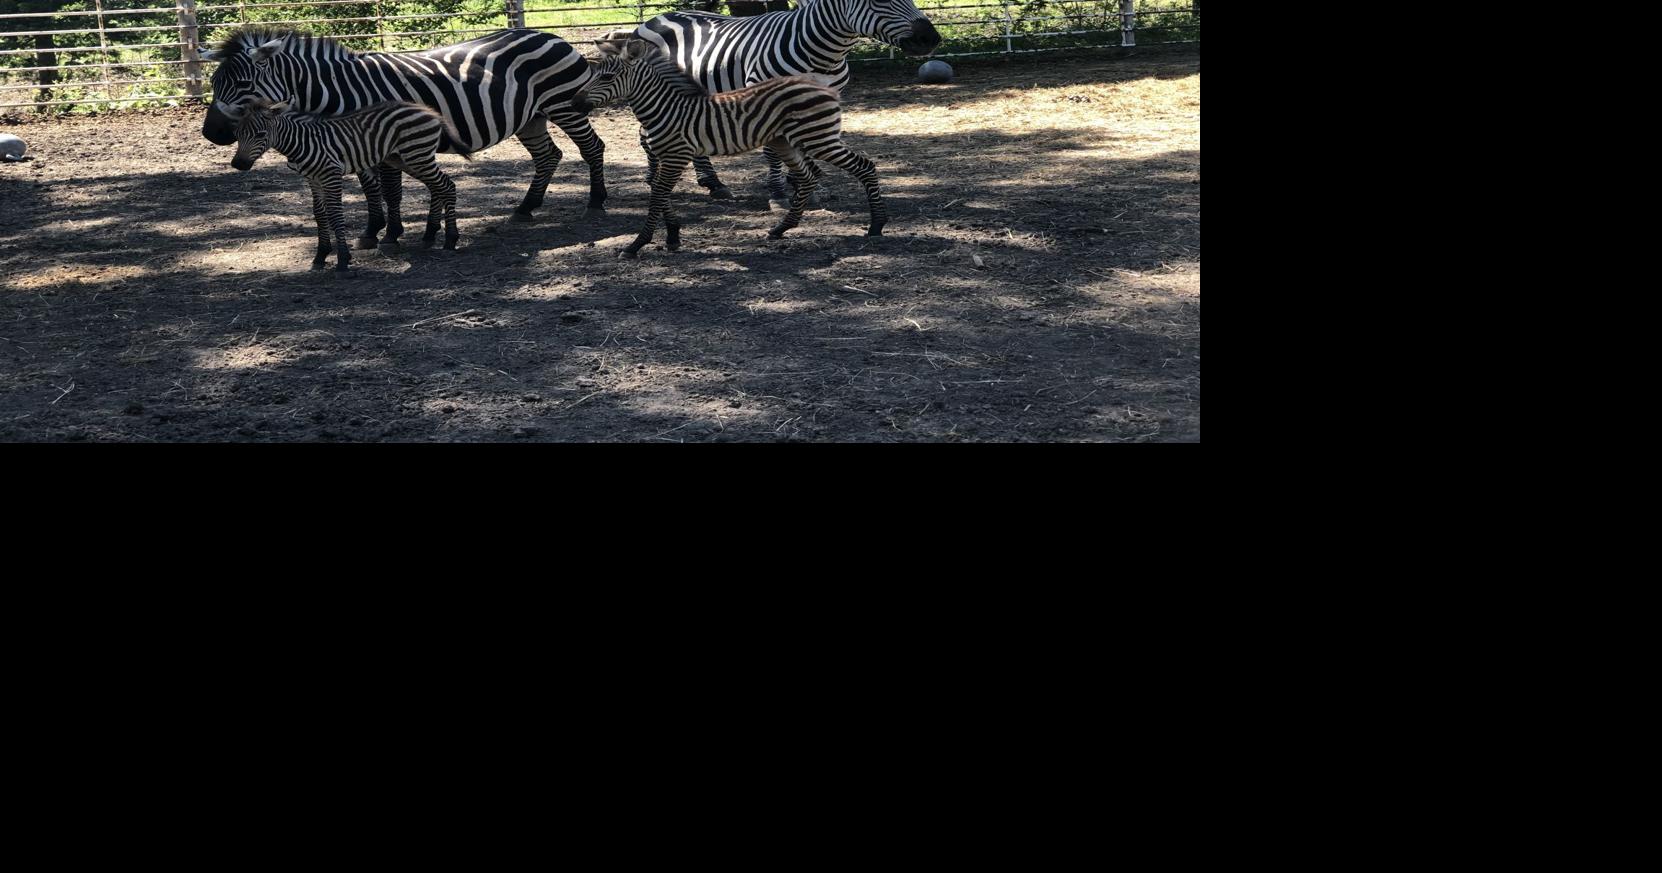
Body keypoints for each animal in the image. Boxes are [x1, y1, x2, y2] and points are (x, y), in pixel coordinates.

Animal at [199, 27, 606, 249]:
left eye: (242, 84)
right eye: (215, 82)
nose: (210, 134)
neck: (340, 91)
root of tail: (551, 35)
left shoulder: (381, 135)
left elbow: (389, 189)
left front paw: (390, 232)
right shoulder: (358, 139)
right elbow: (371, 189)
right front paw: (374, 230)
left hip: (562, 105)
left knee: (592, 147)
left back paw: (596, 201)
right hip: (531, 117)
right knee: (548, 156)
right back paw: (525, 207)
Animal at [231, 99, 473, 272]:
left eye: (261, 134)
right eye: (238, 134)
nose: (237, 164)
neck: (302, 142)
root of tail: (427, 110)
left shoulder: (331, 175)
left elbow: (335, 214)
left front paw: (342, 259)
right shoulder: (312, 179)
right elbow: (319, 214)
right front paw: (320, 256)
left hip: (417, 155)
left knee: (448, 186)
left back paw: (451, 239)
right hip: (405, 159)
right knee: (440, 187)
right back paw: (431, 235)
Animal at [573, 37, 886, 259]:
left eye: (606, 78)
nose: (574, 103)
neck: (666, 109)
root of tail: (821, 86)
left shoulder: (676, 156)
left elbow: (657, 197)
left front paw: (637, 244)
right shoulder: (666, 157)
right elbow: (659, 194)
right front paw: (673, 236)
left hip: (817, 138)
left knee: (865, 166)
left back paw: (877, 226)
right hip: (784, 141)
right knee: (808, 179)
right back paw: (781, 228)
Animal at [630, 0, 940, 202]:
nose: (931, 39)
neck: (824, 53)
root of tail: (657, 17)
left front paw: (809, 183)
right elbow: (772, 149)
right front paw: (779, 191)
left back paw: (712, 184)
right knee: (646, 132)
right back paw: (660, 178)